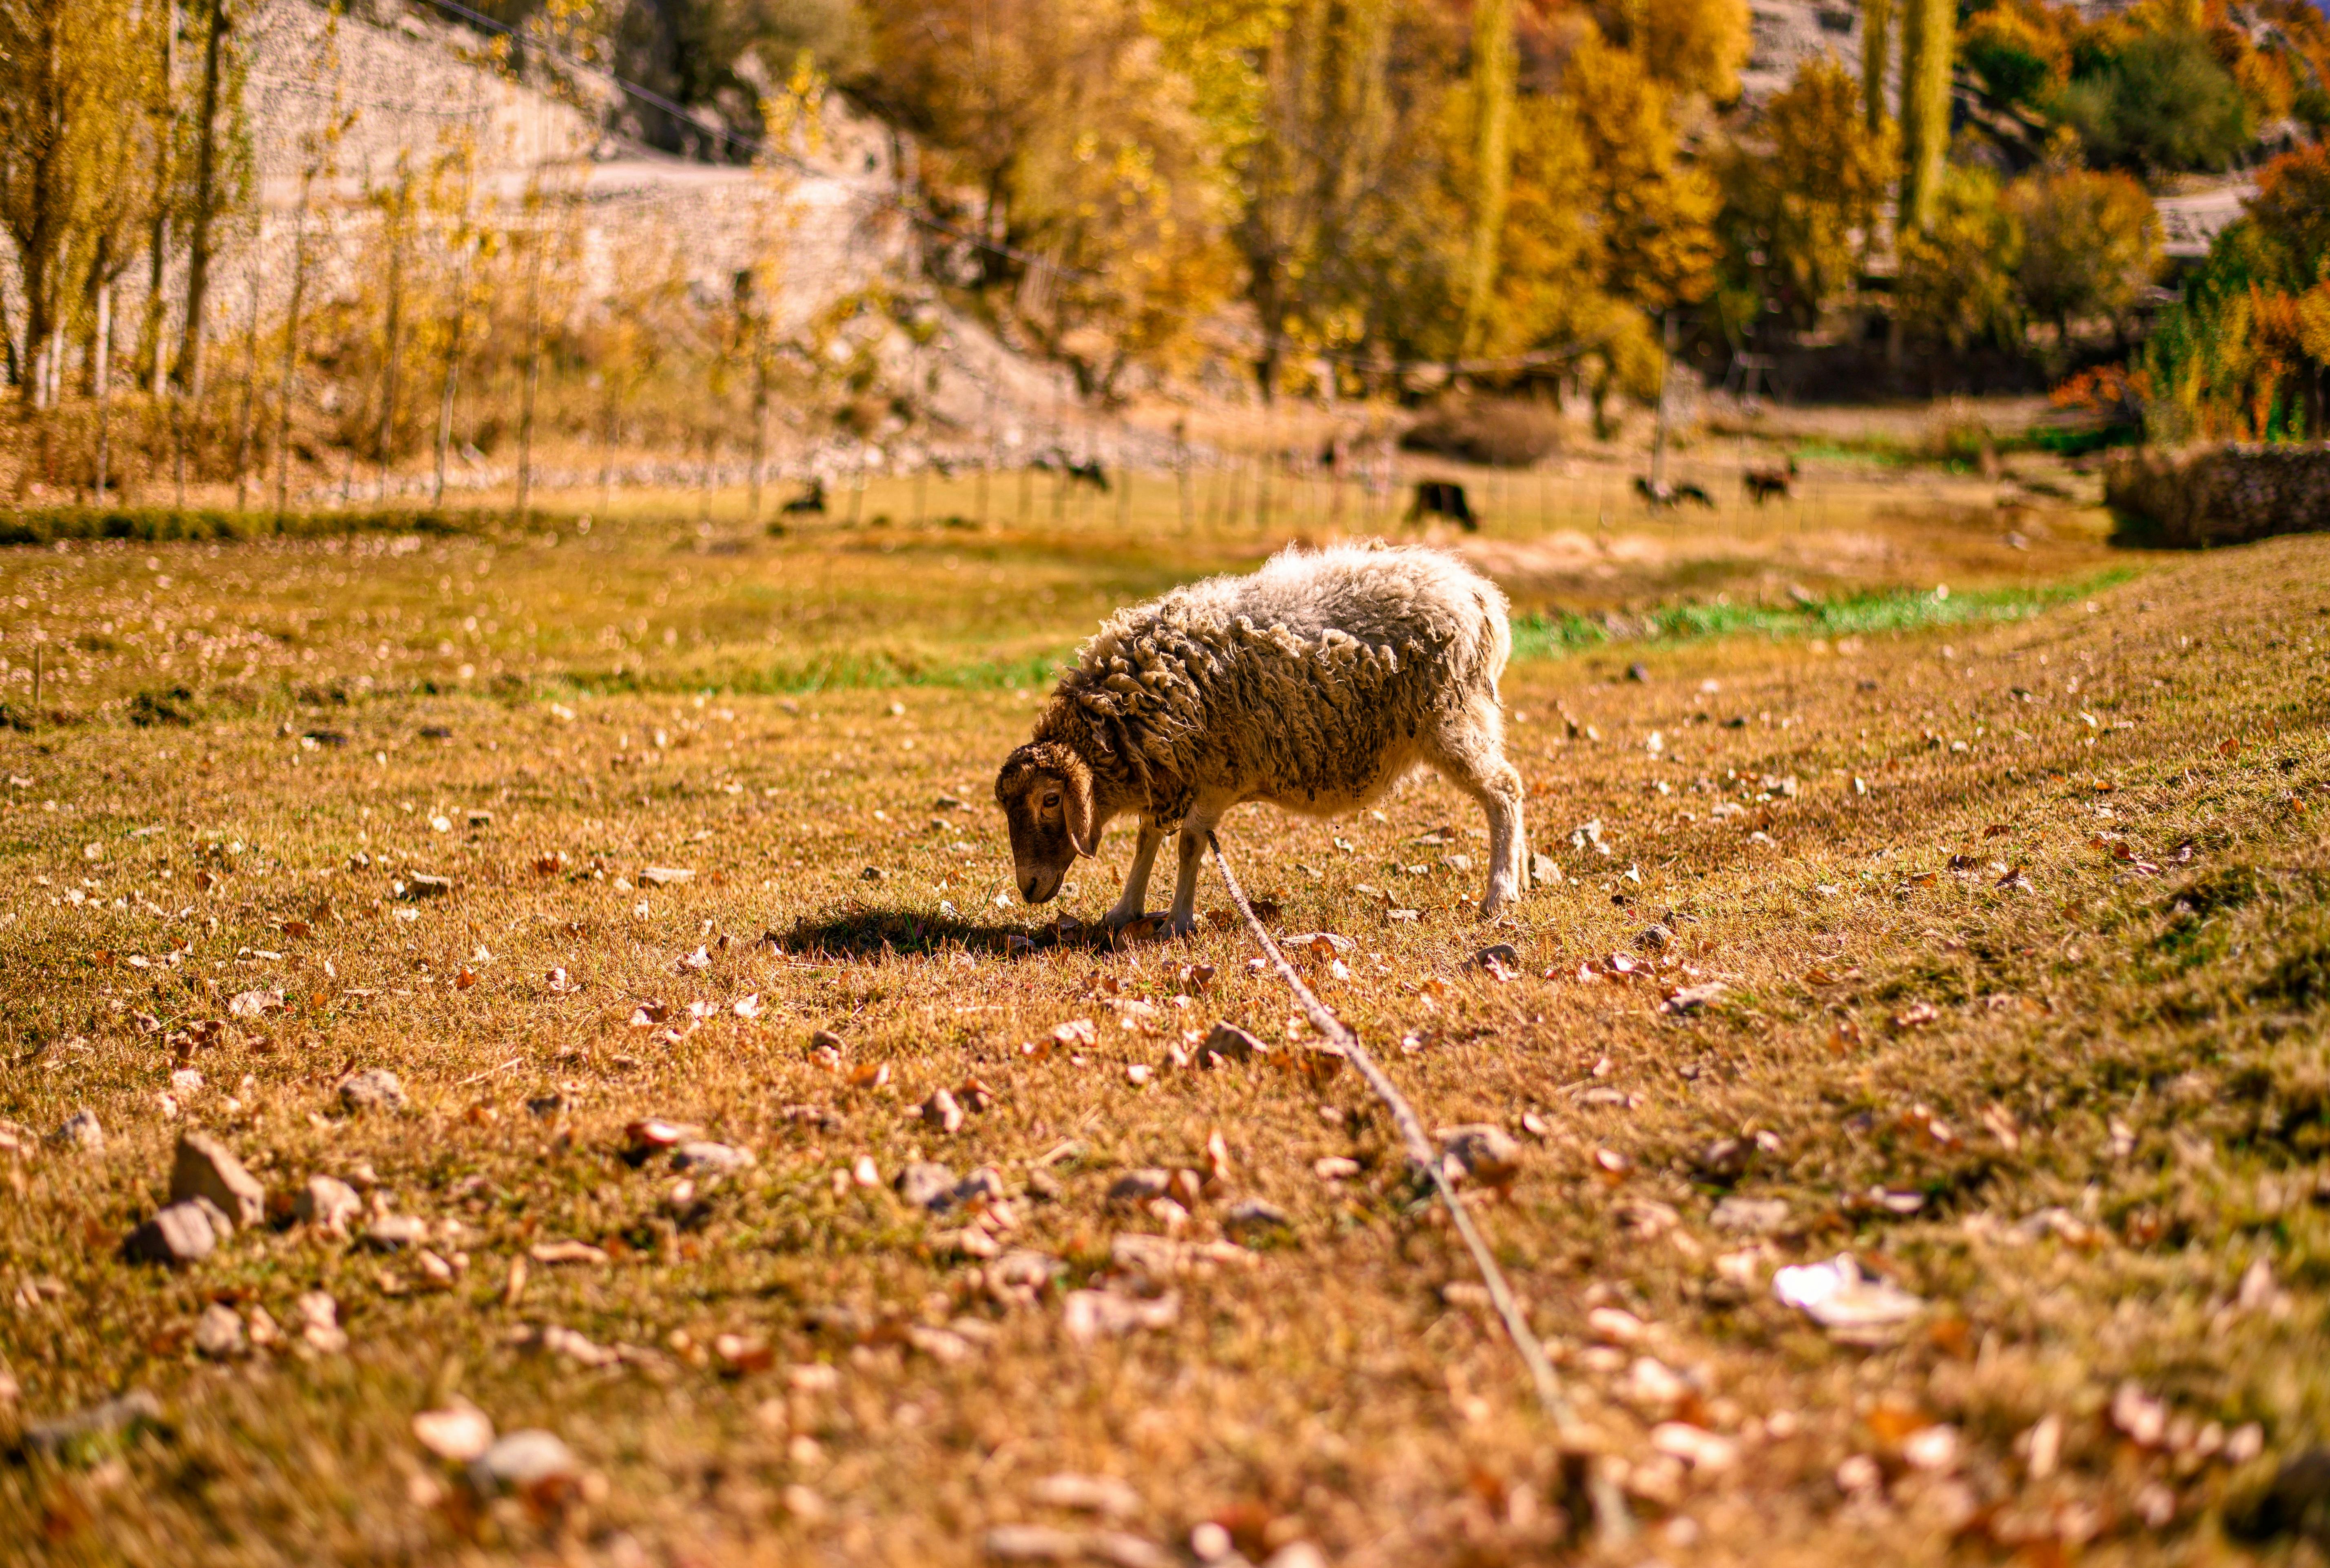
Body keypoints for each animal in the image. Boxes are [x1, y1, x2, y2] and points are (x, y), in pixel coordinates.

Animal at [994, 541, 1527, 935]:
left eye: (1050, 800)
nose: (1028, 886)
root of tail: (1481, 595)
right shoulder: (1168, 773)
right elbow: (1148, 838)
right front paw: (1126, 910)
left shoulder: (1217, 776)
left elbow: (1190, 842)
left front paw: (1178, 921)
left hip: (1453, 719)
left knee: (1505, 790)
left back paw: (1499, 894)